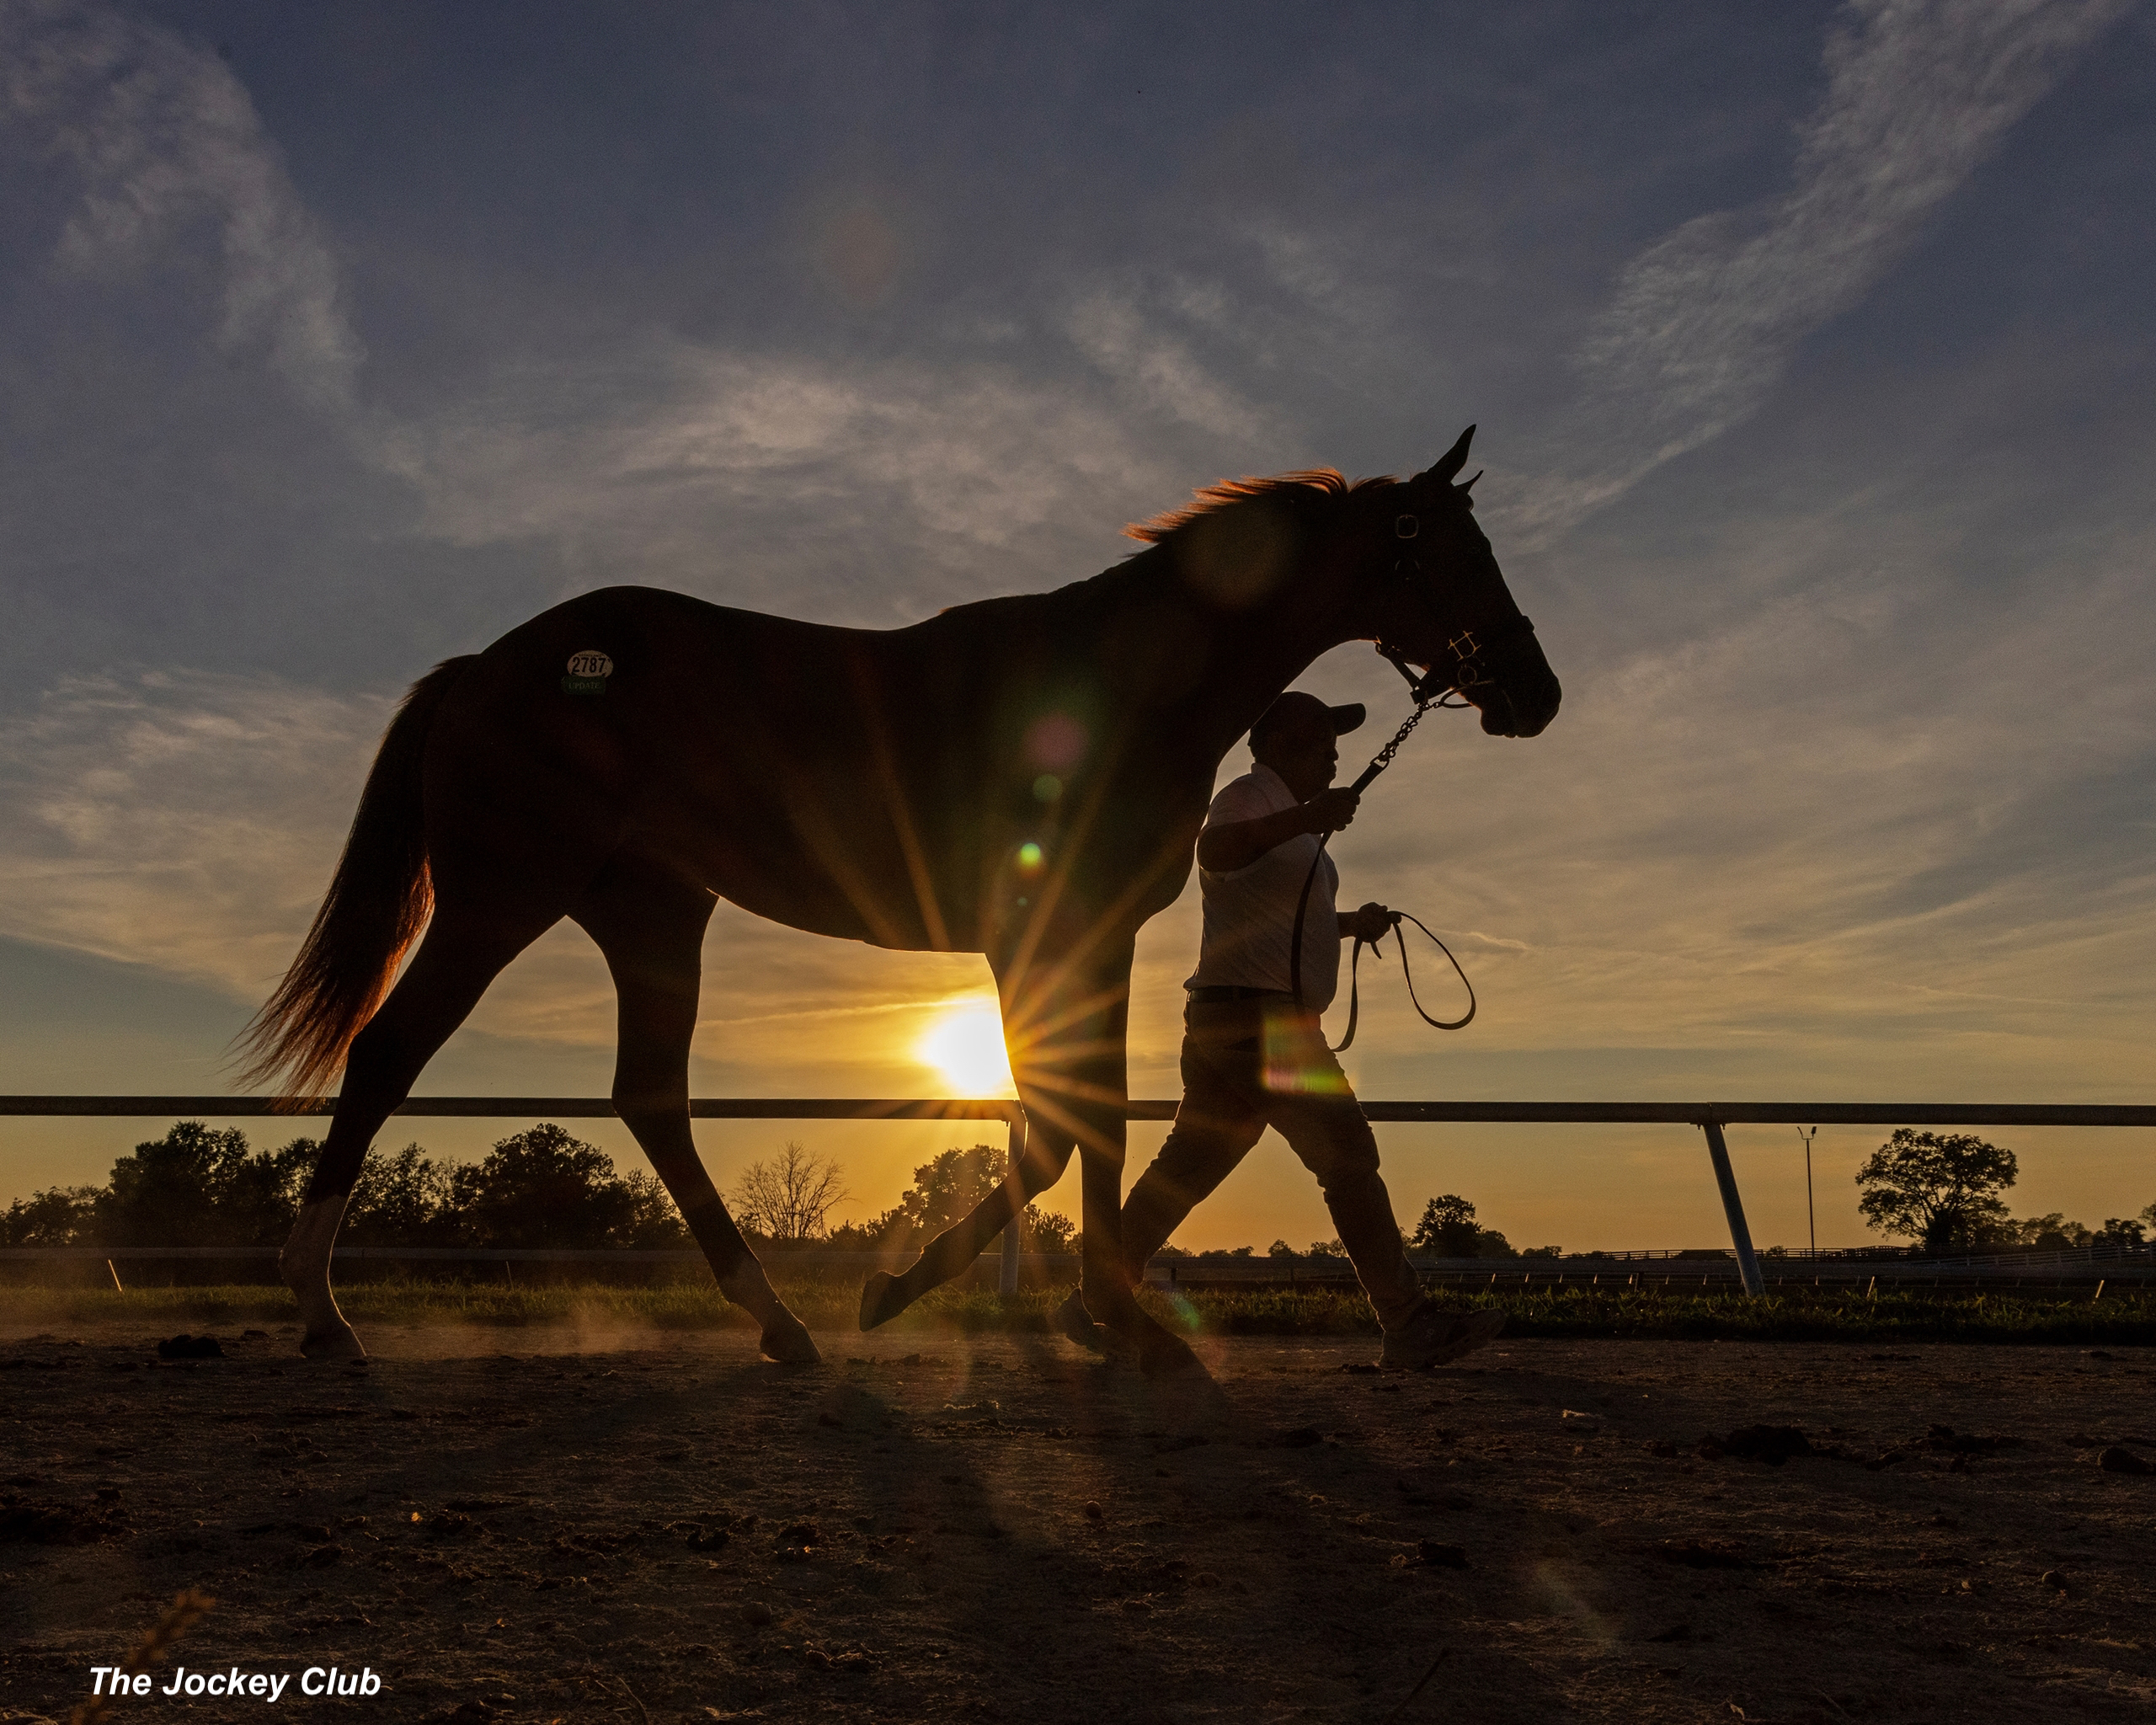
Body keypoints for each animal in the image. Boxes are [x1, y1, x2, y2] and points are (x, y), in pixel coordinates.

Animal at [243, 425, 1560, 1371]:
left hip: (655, 914)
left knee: (652, 1099)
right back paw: (322, 1311)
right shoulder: (1036, 939)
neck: (1124, 684)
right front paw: (959, 1296)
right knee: (389, 1053)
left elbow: (1081, 1124)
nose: (1534, 689)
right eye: (1454, 551)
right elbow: (1062, 1129)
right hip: (500, 900)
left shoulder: (1093, 939)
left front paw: (1071, 1310)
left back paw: (780, 1321)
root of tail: (488, 665)